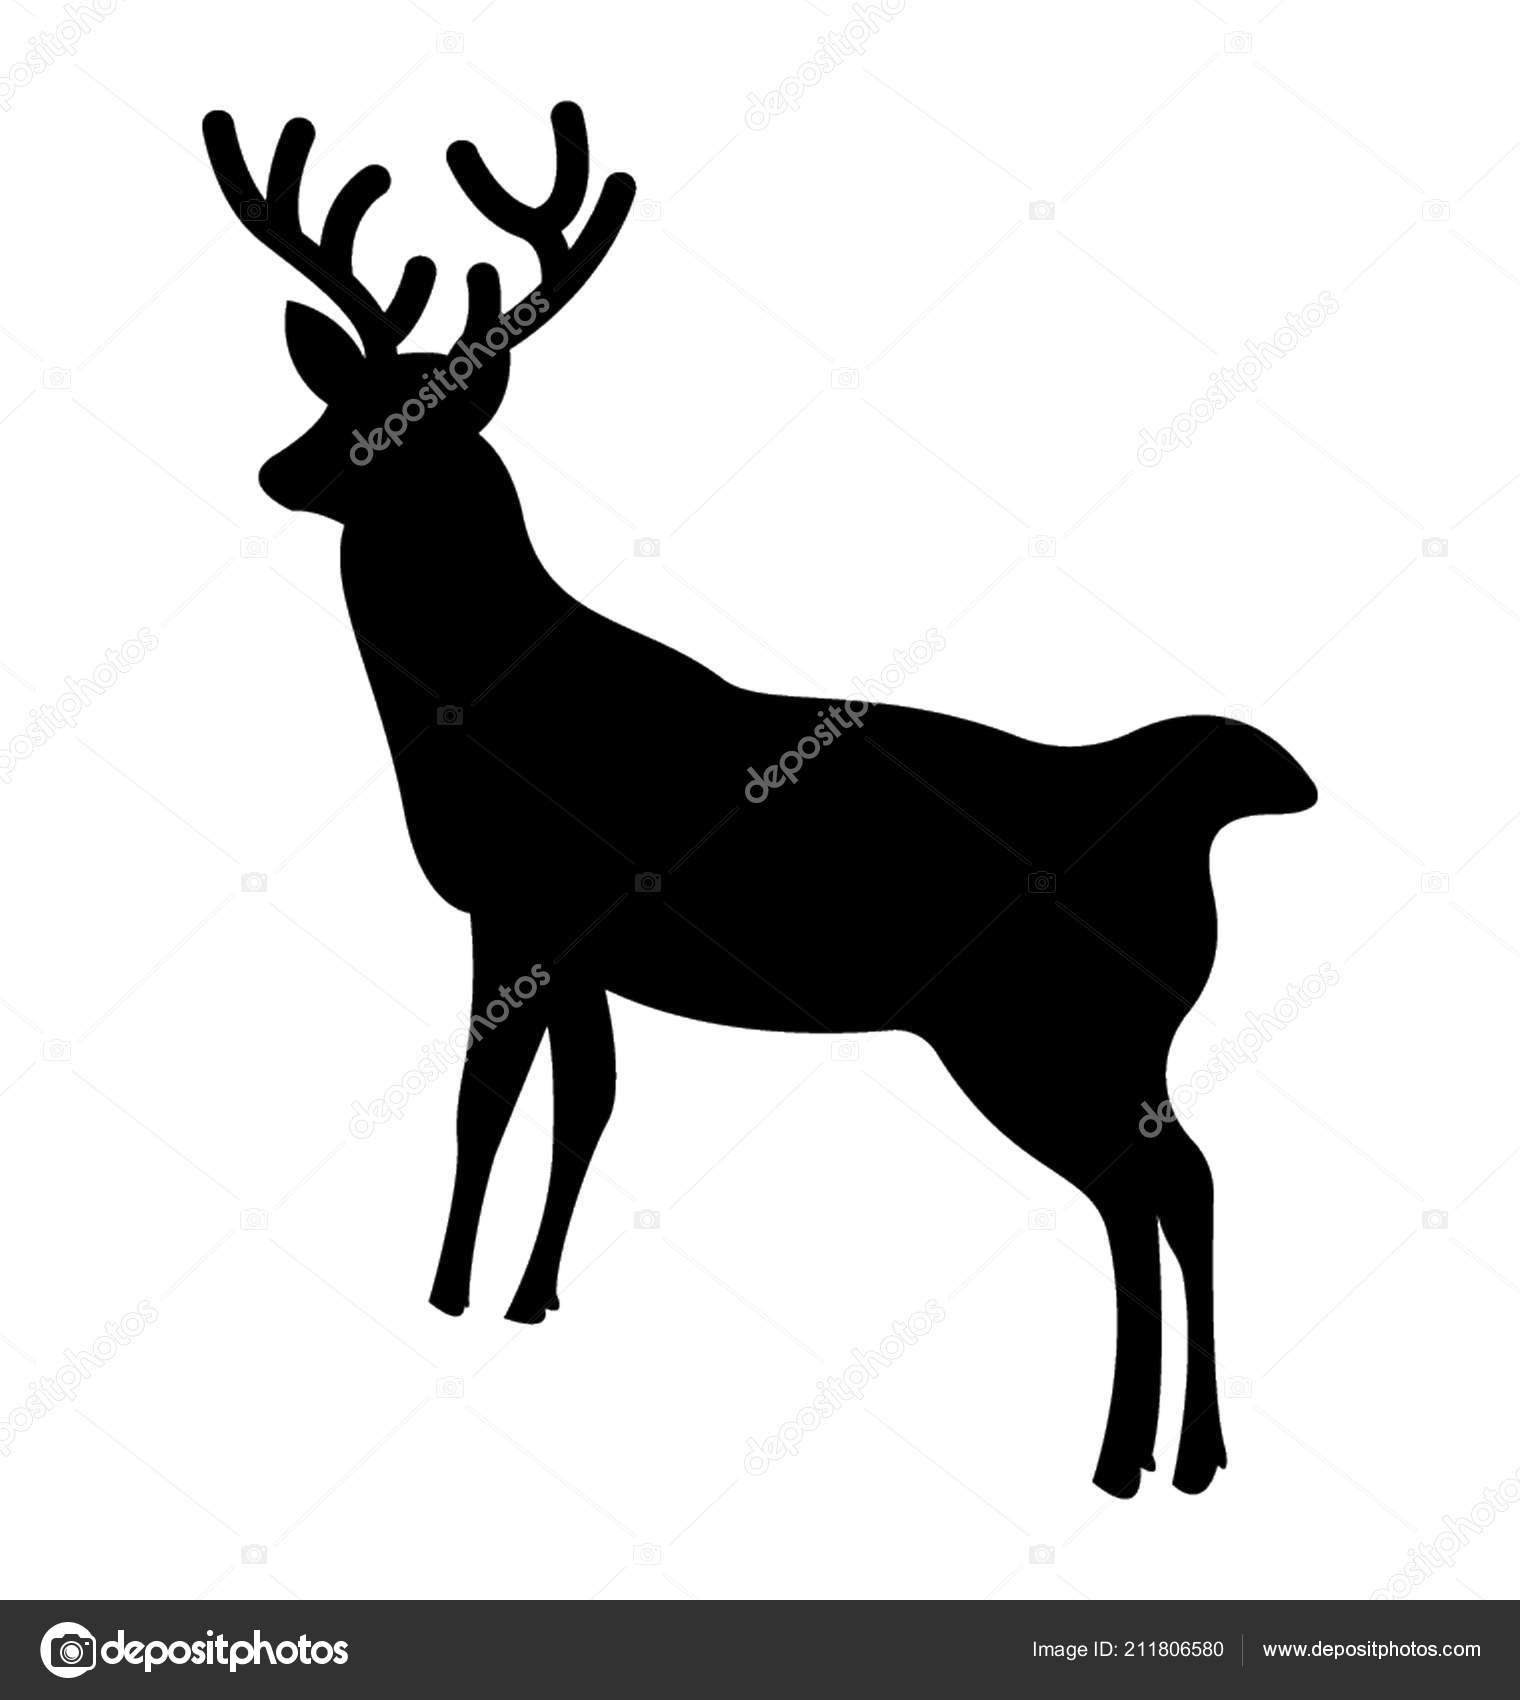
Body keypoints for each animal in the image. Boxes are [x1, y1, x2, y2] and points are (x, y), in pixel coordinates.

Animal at [202, 102, 1317, 1498]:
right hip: (1116, 1036)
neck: (464, 707)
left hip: (1042, 1026)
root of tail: (1189, 809)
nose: (277, 470)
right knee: (1184, 1181)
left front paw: (446, 1289)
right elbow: (587, 1104)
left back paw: (1128, 1457)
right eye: (334, 390)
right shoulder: (588, 940)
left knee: (1150, 1190)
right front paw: (531, 1295)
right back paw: (1185, 1453)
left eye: (410, 417)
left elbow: (482, 1100)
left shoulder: (511, 903)